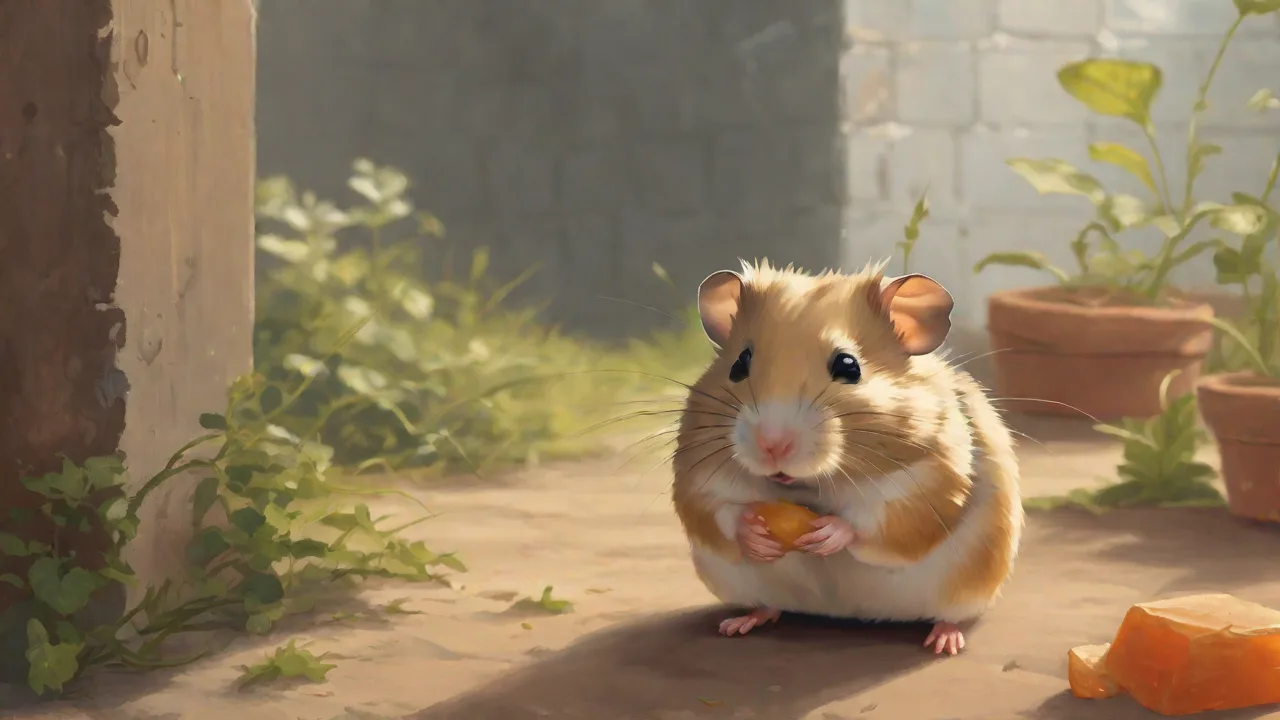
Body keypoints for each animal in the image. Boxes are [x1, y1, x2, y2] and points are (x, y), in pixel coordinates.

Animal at [670, 259, 1023, 655]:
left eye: (849, 366)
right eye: (738, 365)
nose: (772, 445)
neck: (812, 485)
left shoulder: (935, 480)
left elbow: (874, 519)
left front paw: (827, 533)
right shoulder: (694, 475)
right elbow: (716, 511)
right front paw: (754, 534)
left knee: (950, 615)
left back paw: (944, 642)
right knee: (769, 606)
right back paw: (738, 624)